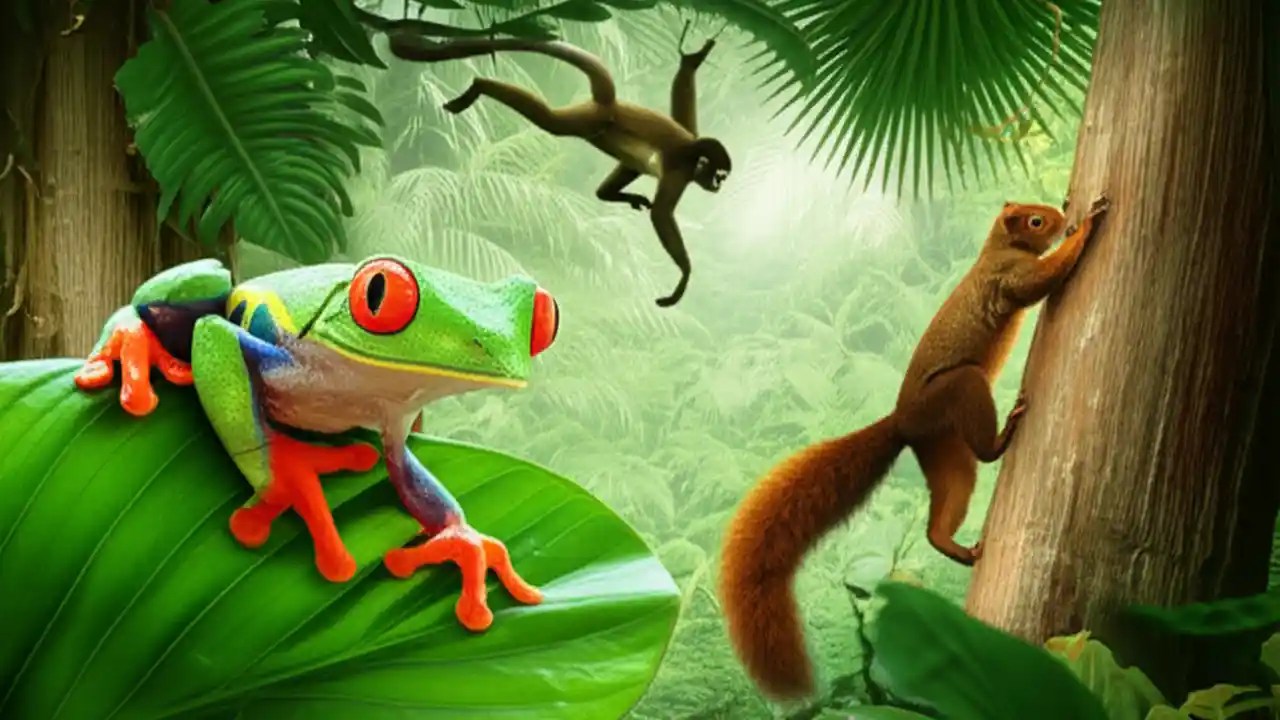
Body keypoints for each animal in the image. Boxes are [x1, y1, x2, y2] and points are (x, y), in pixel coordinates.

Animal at [387, 30, 732, 308]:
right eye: (718, 175)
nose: (718, 187)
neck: (694, 156)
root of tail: (611, 103)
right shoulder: (680, 169)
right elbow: (661, 213)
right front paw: (684, 275)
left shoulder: (690, 144)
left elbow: (683, 126)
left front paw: (691, 62)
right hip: (591, 119)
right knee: (553, 121)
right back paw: (480, 86)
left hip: (599, 127)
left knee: (621, 168)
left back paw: (611, 194)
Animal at [717, 196, 1111, 700]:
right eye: (1037, 221)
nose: (1061, 215)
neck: (997, 246)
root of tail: (903, 423)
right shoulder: (1009, 276)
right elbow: (1043, 279)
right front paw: (1088, 225)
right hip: (961, 388)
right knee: (982, 449)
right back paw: (1004, 435)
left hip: (944, 453)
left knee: (939, 516)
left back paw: (954, 546)